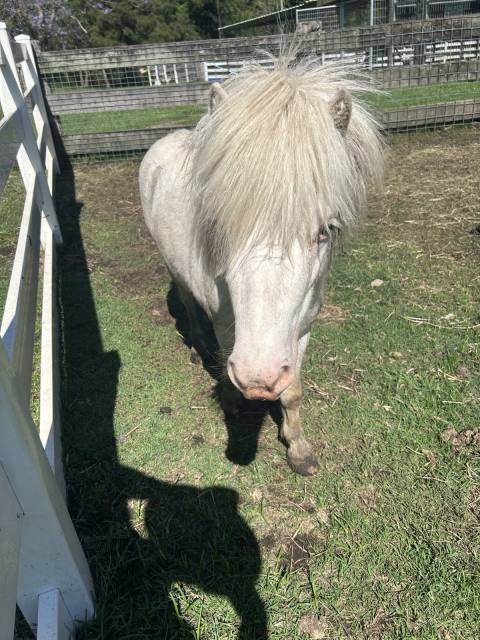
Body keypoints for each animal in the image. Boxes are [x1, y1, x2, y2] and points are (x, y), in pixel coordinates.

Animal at [139, 55, 384, 476]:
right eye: (220, 223)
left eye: (327, 230)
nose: (258, 377)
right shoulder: (226, 324)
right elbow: (225, 358)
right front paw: (233, 400)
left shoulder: (300, 330)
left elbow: (293, 392)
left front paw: (298, 449)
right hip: (174, 271)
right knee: (188, 305)